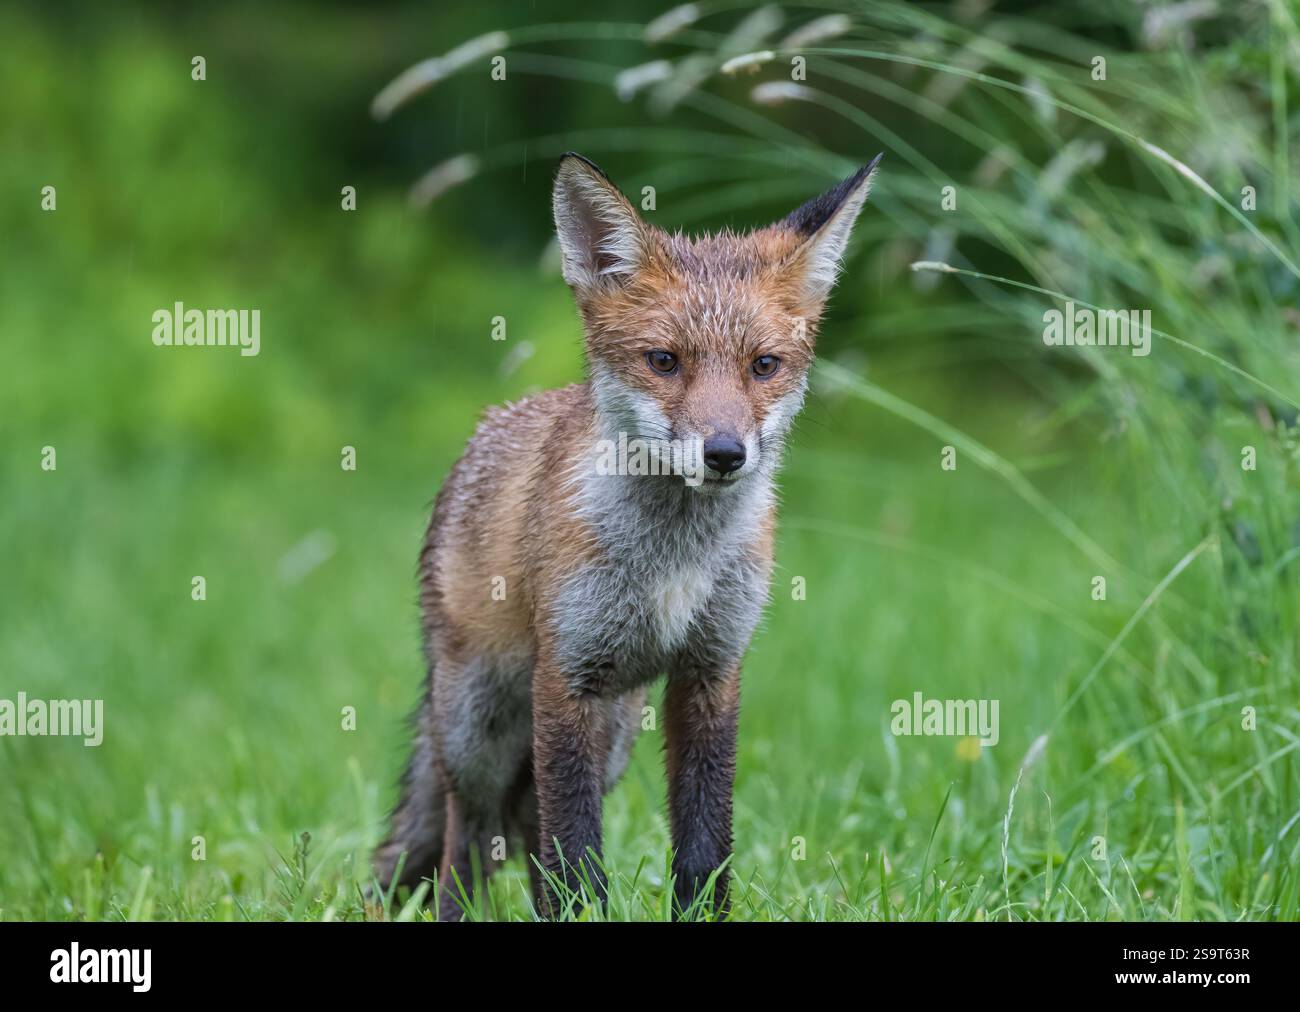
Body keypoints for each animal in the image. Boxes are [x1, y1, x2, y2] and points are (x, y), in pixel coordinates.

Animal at [374, 151, 882, 920]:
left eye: (763, 366)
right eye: (663, 361)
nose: (725, 453)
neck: (673, 558)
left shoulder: (711, 670)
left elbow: (702, 843)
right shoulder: (567, 675)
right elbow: (577, 853)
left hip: (613, 734)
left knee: (527, 825)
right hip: (476, 727)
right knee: (470, 833)